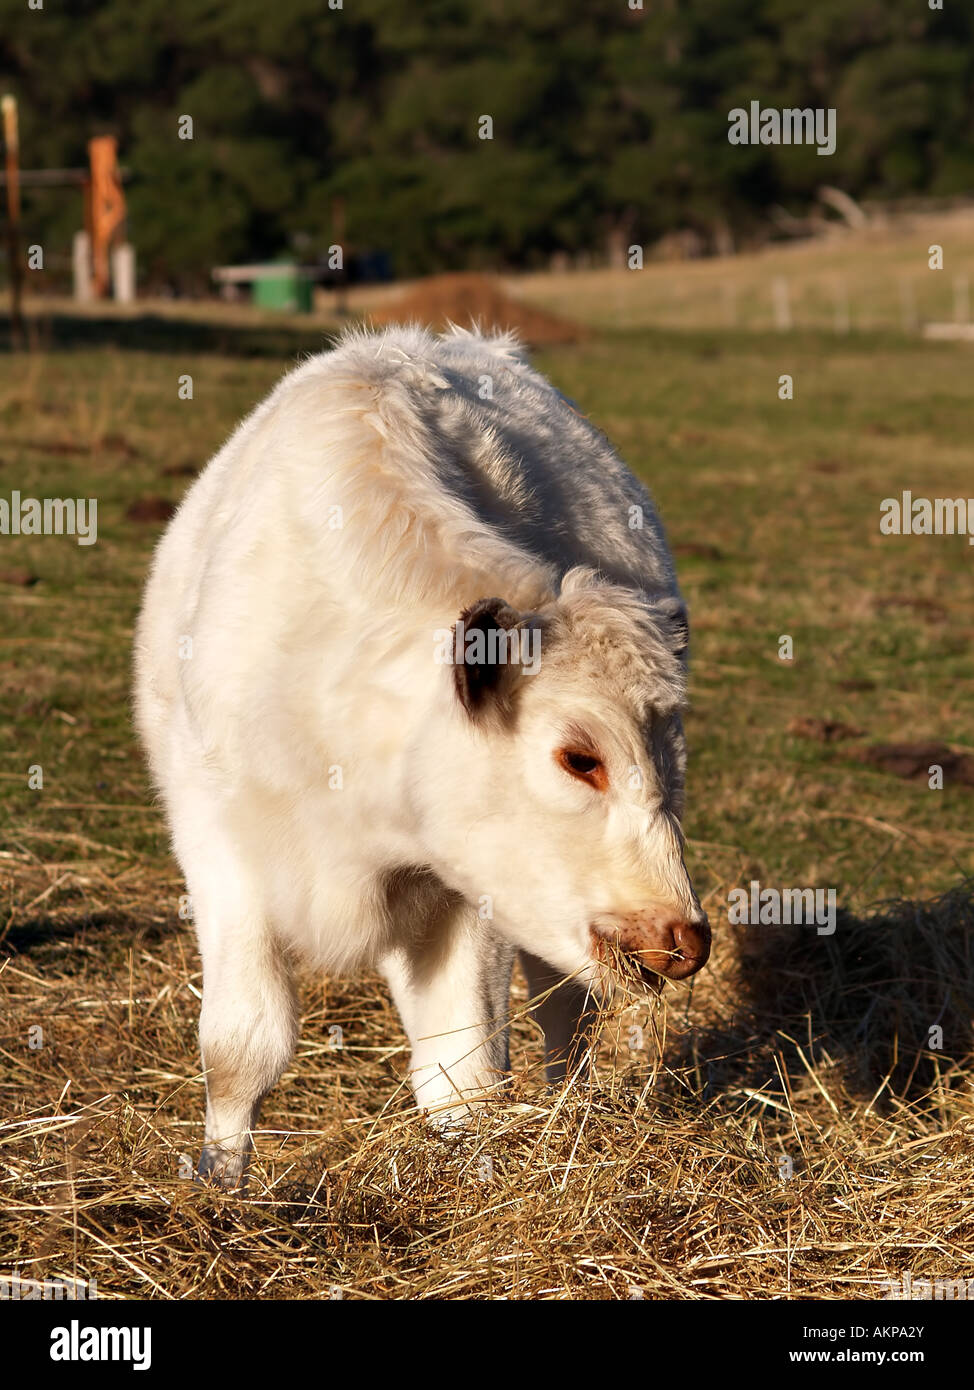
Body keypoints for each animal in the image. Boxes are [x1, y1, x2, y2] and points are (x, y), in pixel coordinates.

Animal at [133, 325, 710, 1187]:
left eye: (671, 746)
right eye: (579, 758)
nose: (685, 938)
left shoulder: (469, 895)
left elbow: (463, 1075)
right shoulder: (220, 852)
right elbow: (241, 1047)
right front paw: (220, 1188)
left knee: (566, 1018)